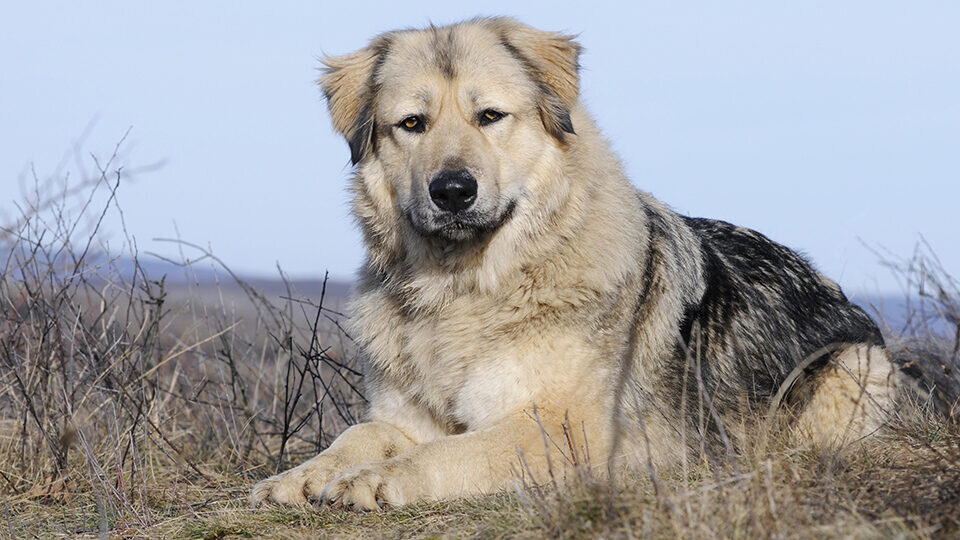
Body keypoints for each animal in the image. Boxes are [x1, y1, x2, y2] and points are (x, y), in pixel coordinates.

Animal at [249, 17, 908, 510]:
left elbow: (452, 451)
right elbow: (361, 433)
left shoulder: (572, 431)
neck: (464, 291)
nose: (453, 190)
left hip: (858, 367)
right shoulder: (405, 416)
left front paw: (379, 479)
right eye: (412, 124)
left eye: (490, 116)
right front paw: (302, 474)